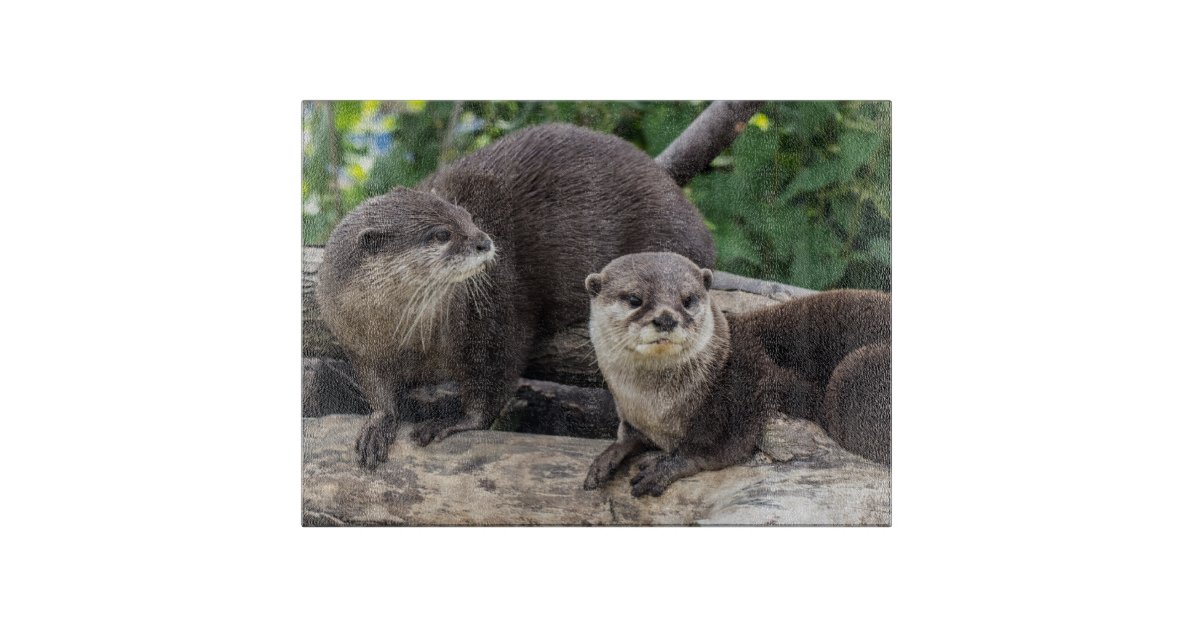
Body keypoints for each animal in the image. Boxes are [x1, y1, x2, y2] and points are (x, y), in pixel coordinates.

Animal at [317, 124, 716, 469]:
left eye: (467, 215)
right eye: (441, 234)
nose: (484, 240)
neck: (410, 334)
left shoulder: (491, 313)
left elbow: (494, 373)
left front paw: (454, 422)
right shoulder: (359, 343)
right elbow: (377, 387)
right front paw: (378, 424)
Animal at [582, 252, 890, 497]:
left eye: (688, 300)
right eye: (635, 299)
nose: (666, 318)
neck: (658, 408)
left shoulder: (749, 380)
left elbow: (718, 443)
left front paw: (667, 466)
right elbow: (628, 435)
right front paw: (609, 455)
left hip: (854, 371)